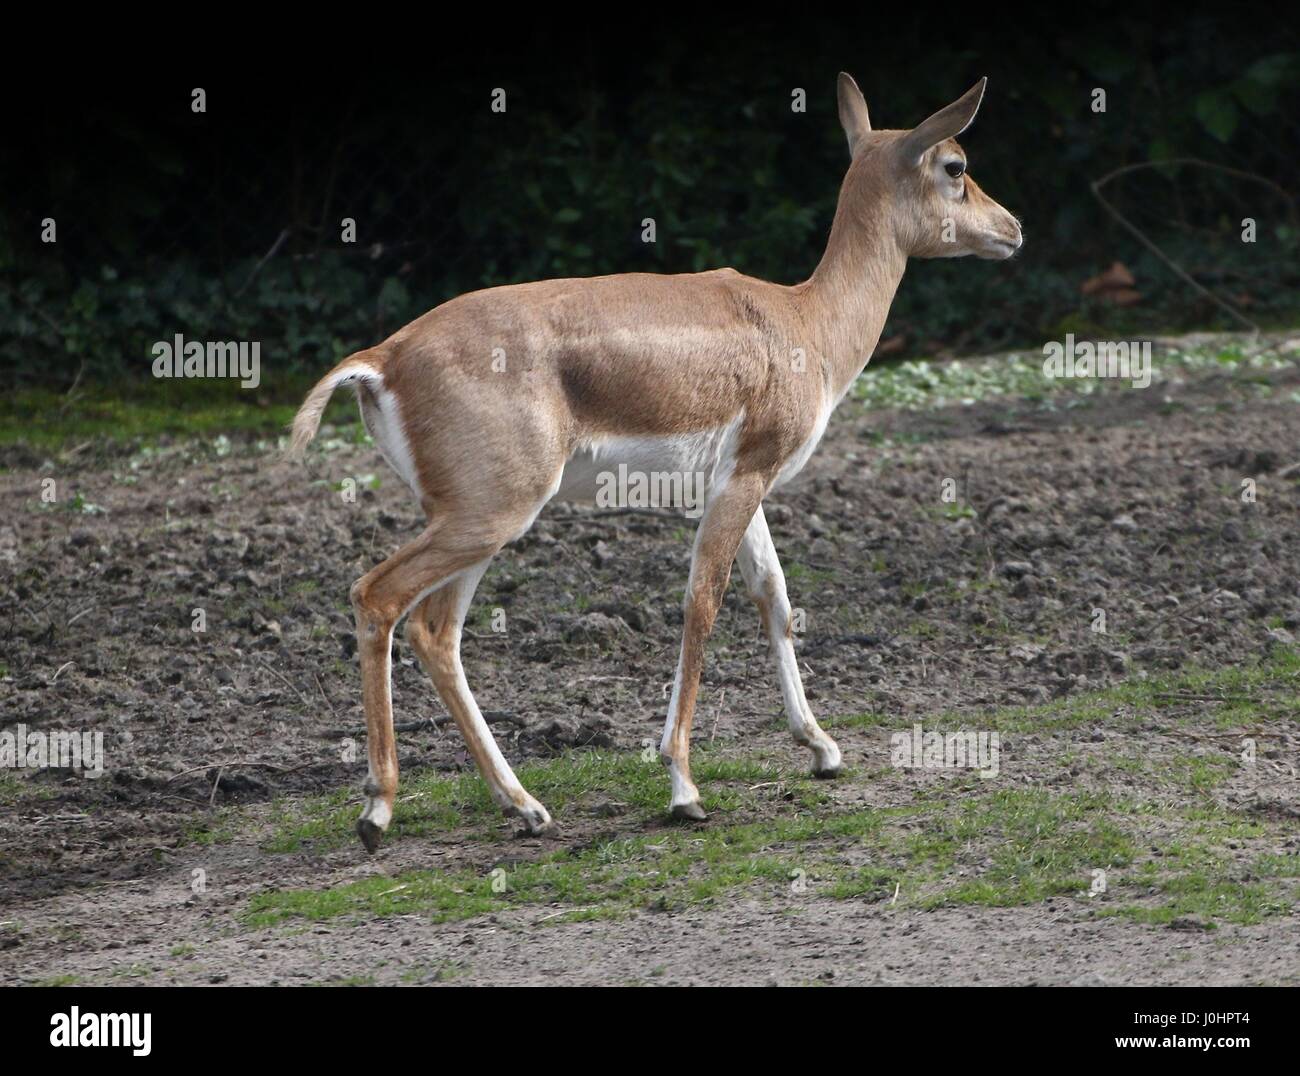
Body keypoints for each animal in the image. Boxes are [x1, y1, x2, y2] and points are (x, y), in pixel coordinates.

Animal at [290, 74, 1022, 851]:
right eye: (956, 165)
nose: (1013, 229)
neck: (804, 321)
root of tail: (382, 360)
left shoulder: (741, 484)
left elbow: (774, 596)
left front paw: (822, 749)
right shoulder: (745, 479)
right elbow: (703, 603)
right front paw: (683, 787)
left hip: (471, 522)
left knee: (435, 632)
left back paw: (524, 806)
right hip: (488, 516)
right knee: (378, 597)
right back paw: (379, 810)